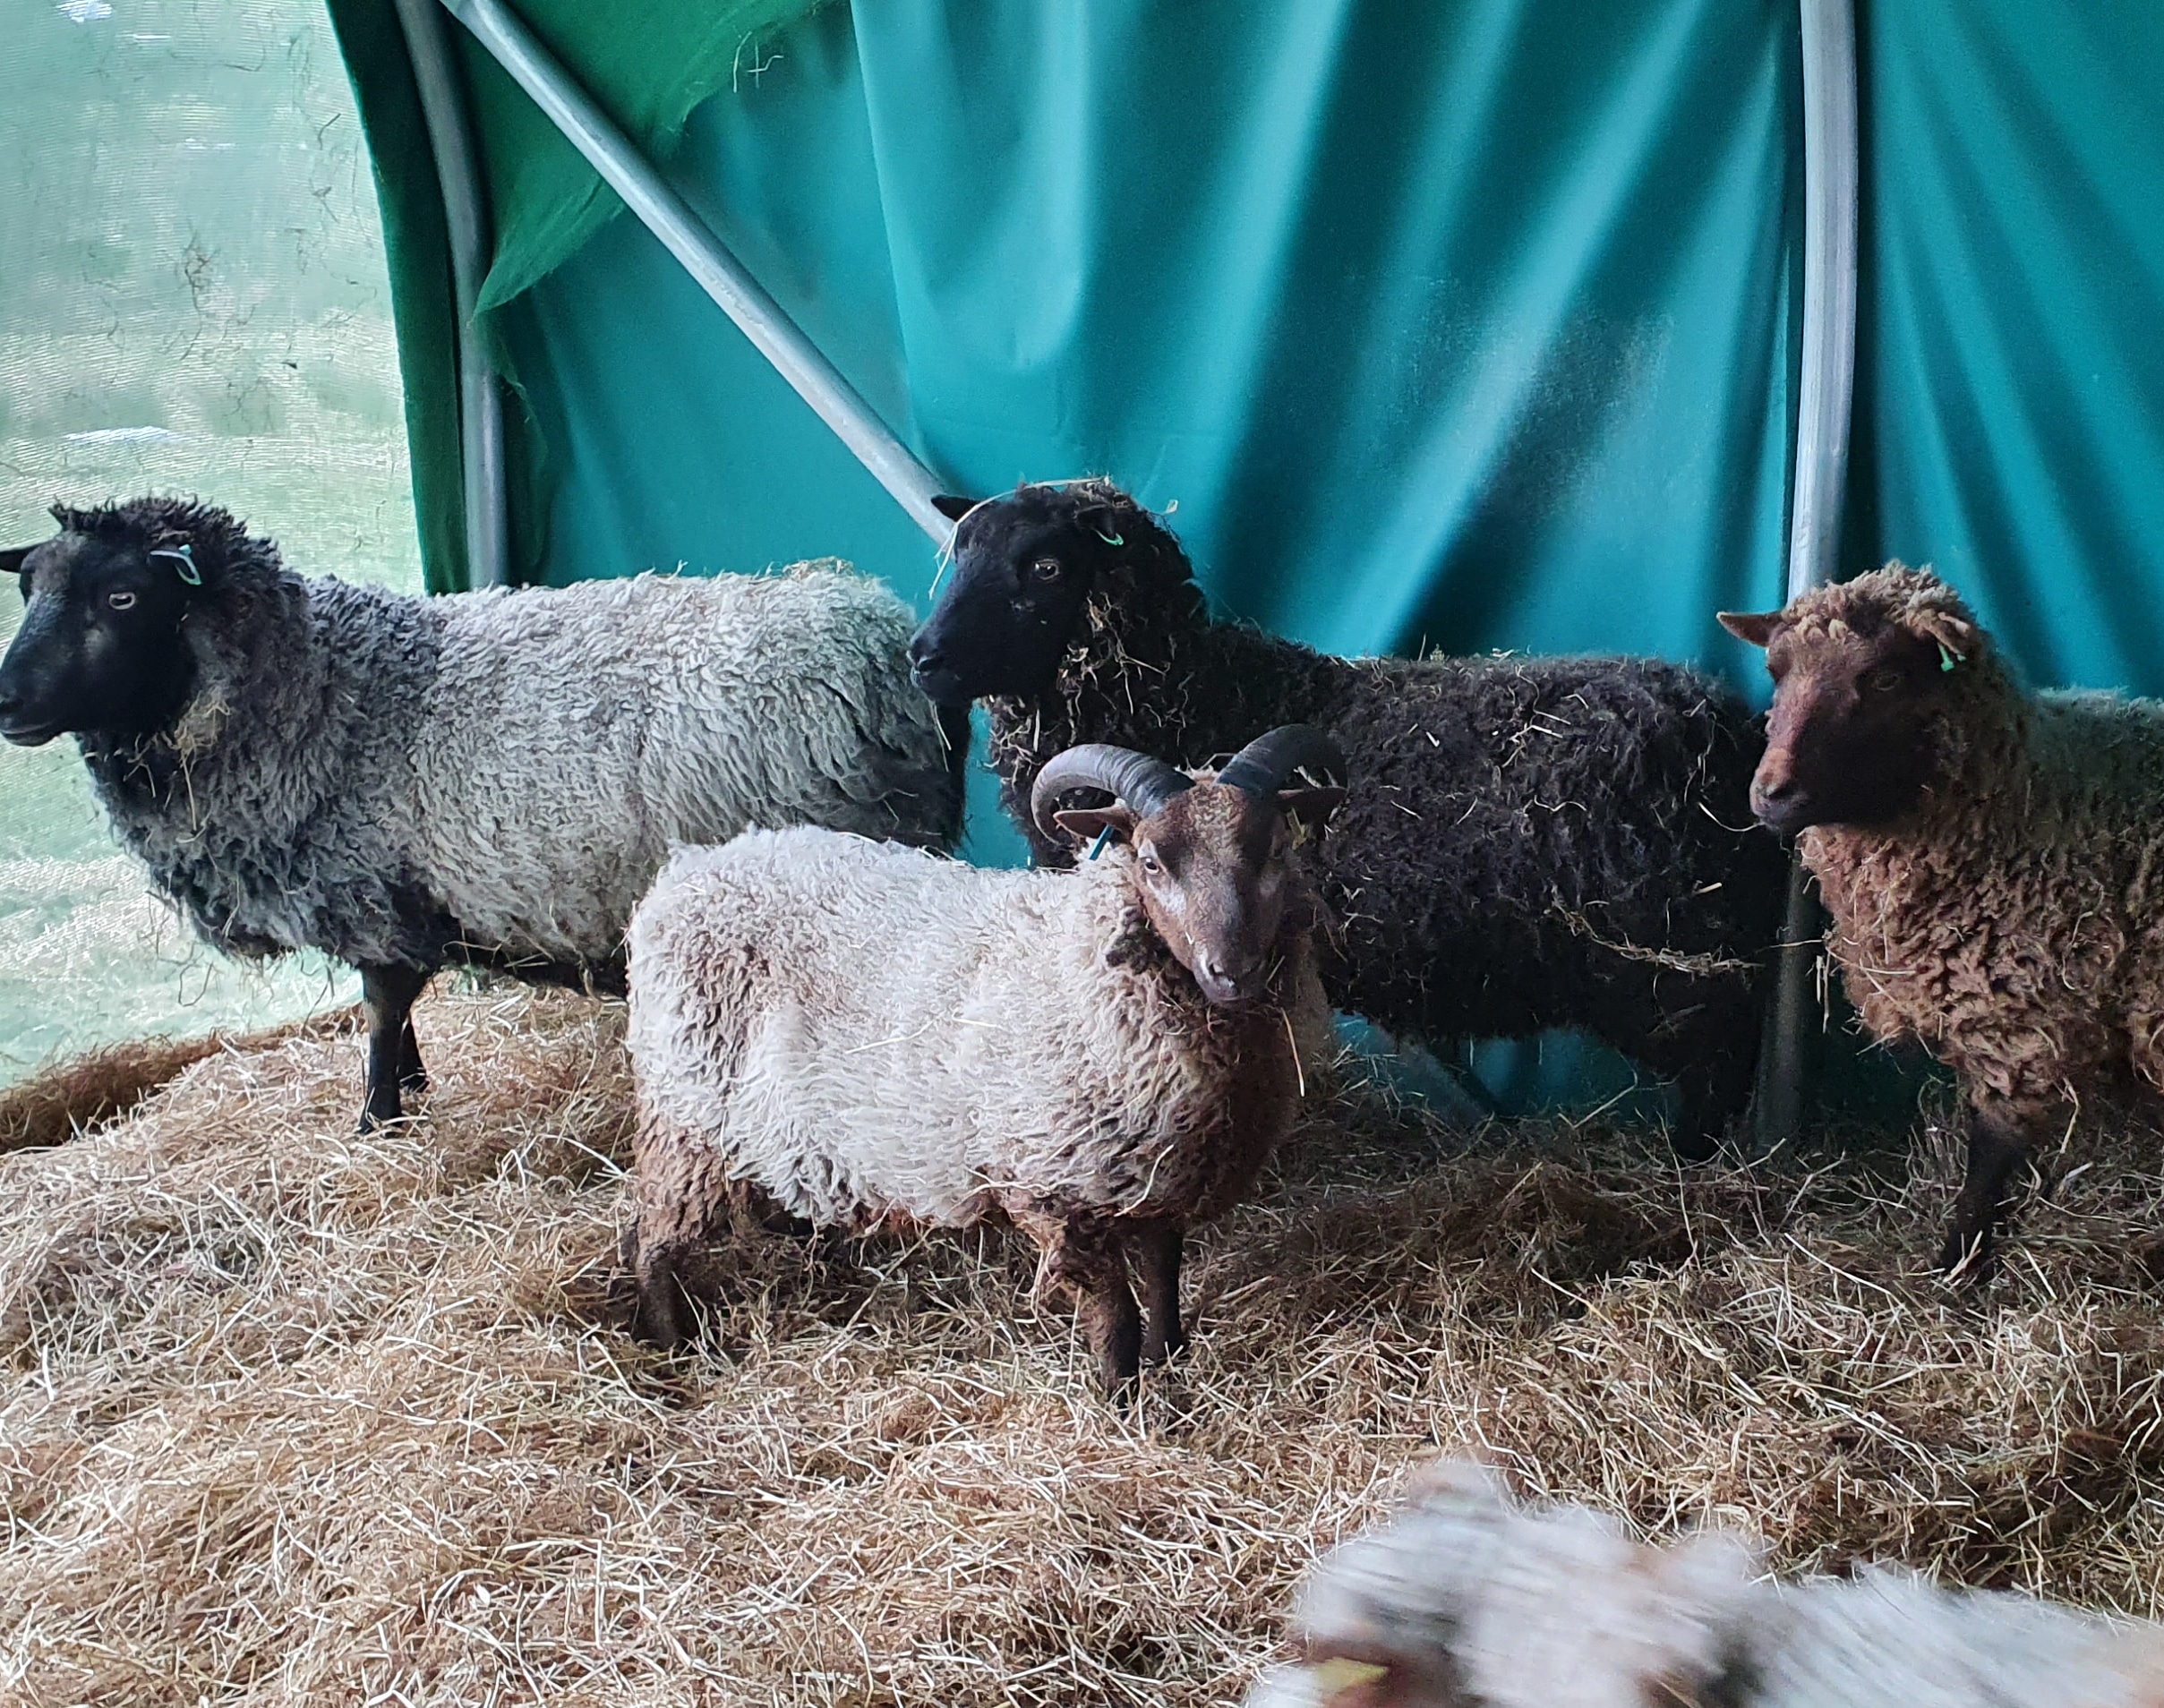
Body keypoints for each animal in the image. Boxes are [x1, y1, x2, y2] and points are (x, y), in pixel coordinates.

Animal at [0, 496, 963, 1129]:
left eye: (123, 597)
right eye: (29, 589)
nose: (7, 701)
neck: (321, 688)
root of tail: (875, 634)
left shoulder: (375, 890)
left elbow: (381, 1007)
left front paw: (378, 1116)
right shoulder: (392, 903)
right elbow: (390, 1008)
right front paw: (412, 1086)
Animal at [623, 725, 1346, 1395]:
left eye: (1275, 849)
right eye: (1148, 862)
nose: (1233, 971)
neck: (1077, 967)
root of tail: (688, 870)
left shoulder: (1158, 1179)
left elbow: (1164, 1282)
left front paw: (1171, 1371)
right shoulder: (1055, 1191)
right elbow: (1115, 1317)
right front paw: (1123, 1405)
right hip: (688, 1108)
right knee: (652, 1232)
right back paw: (670, 1342)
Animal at [907, 480, 1788, 1156]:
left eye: (1046, 566)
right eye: (958, 552)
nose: (924, 657)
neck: (1202, 696)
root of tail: (1730, 723)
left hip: (1675, 962)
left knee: (1718, 1063)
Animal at [1719, 564, 2164, 1271]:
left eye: (1886, 678)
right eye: (1775, 671)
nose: (1771, 794)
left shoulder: (2017, 1019)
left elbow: (1989, 1155)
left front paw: (1958, 1265)